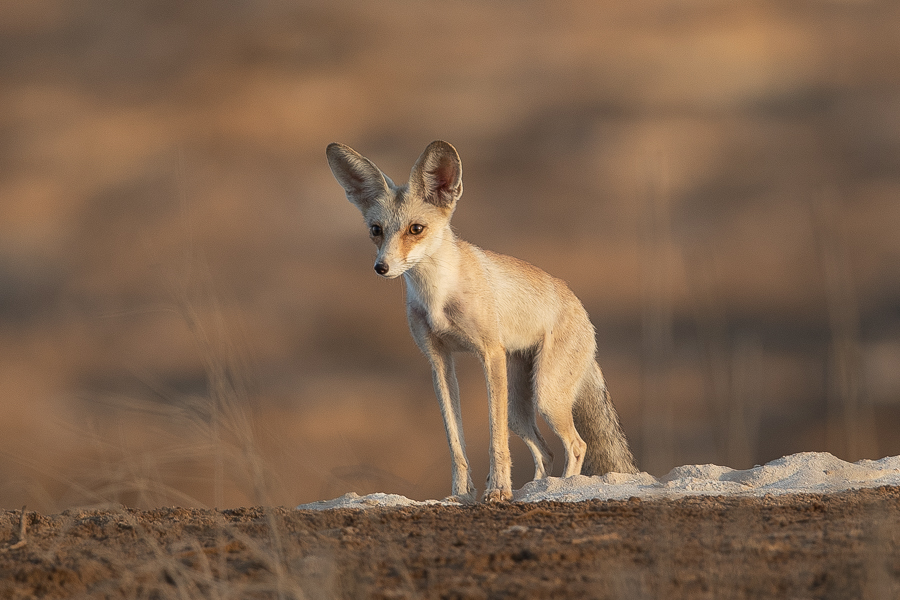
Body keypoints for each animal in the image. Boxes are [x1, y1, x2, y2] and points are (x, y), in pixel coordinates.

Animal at [326, 140, 637, 503]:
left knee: (576, 445)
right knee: (545, 452)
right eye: (376, 231)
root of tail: (583, 311)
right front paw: (461, 495)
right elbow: (455, 442)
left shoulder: (490, 353)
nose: (381, 267)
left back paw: (560, 488)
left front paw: (498, 490)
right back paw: (534, 488)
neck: (437, 296)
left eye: (415, 229)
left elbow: (495, 440)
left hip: (546, 397)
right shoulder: (439, 361)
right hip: (520, 410)